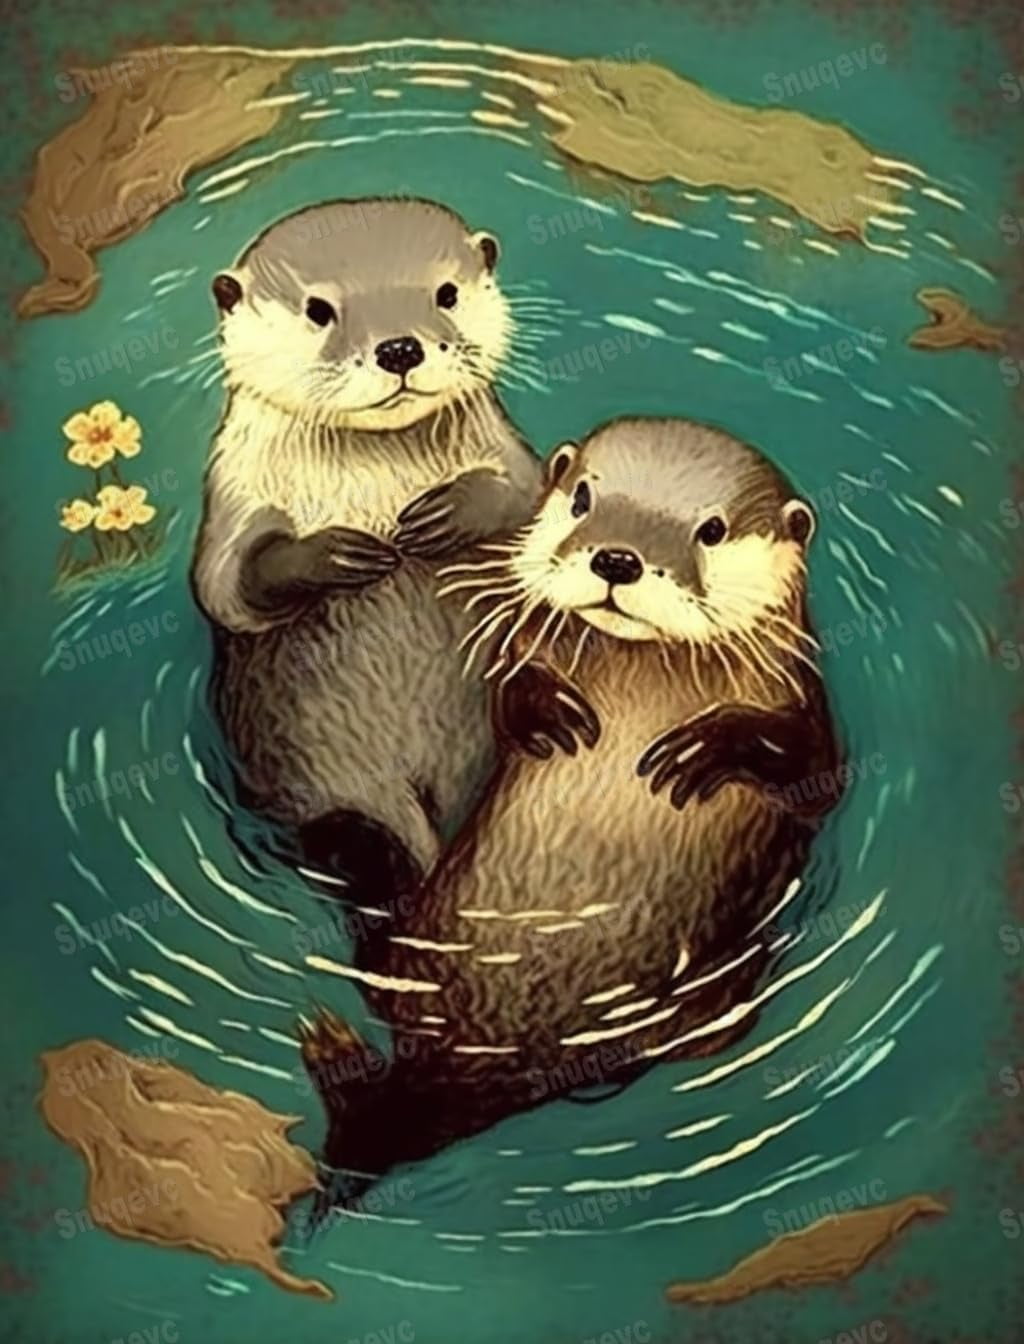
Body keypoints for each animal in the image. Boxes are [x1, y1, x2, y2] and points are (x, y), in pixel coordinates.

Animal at [191, 199, 542, 899]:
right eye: (318, 310)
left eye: (446, 293)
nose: (399, 346)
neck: (375, 484)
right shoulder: (232, 494)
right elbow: (225, 584)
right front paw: (336, 554)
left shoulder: (509, 451)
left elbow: (530, 499)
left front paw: (444, 515)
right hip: (324, 792)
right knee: (353, 842)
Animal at [300, 417, 843, 1193]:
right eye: (583, 497)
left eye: (711, 529)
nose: (618, 558)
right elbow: (504, 695)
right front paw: (545, 707)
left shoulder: (807, 701)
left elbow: (818, 778)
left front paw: (706, 746)